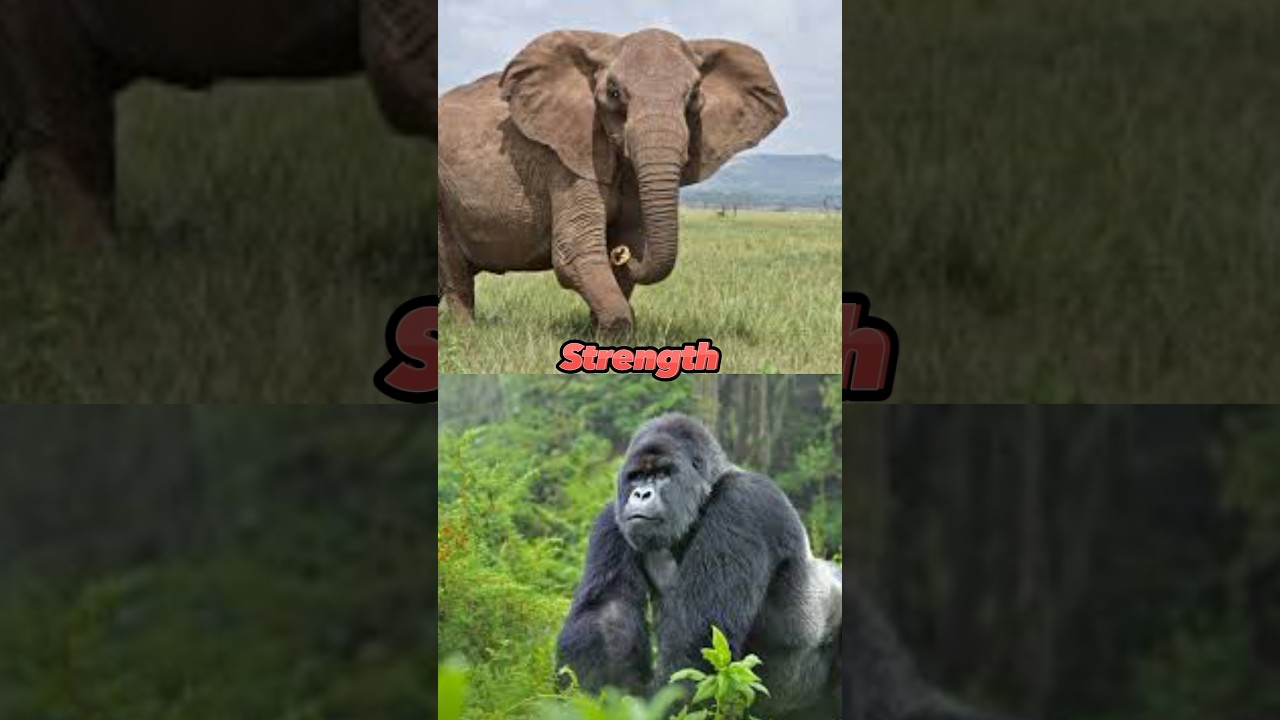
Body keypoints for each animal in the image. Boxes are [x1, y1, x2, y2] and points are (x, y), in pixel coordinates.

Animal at [438, 29, 787, 335]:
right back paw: (467, 332)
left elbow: (631, 241)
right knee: (454, 271)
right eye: (614, 94)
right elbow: (574, 249)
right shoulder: (568, 159)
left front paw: (599, 332)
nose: (619, 253)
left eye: (694, 96)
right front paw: (614, 332)